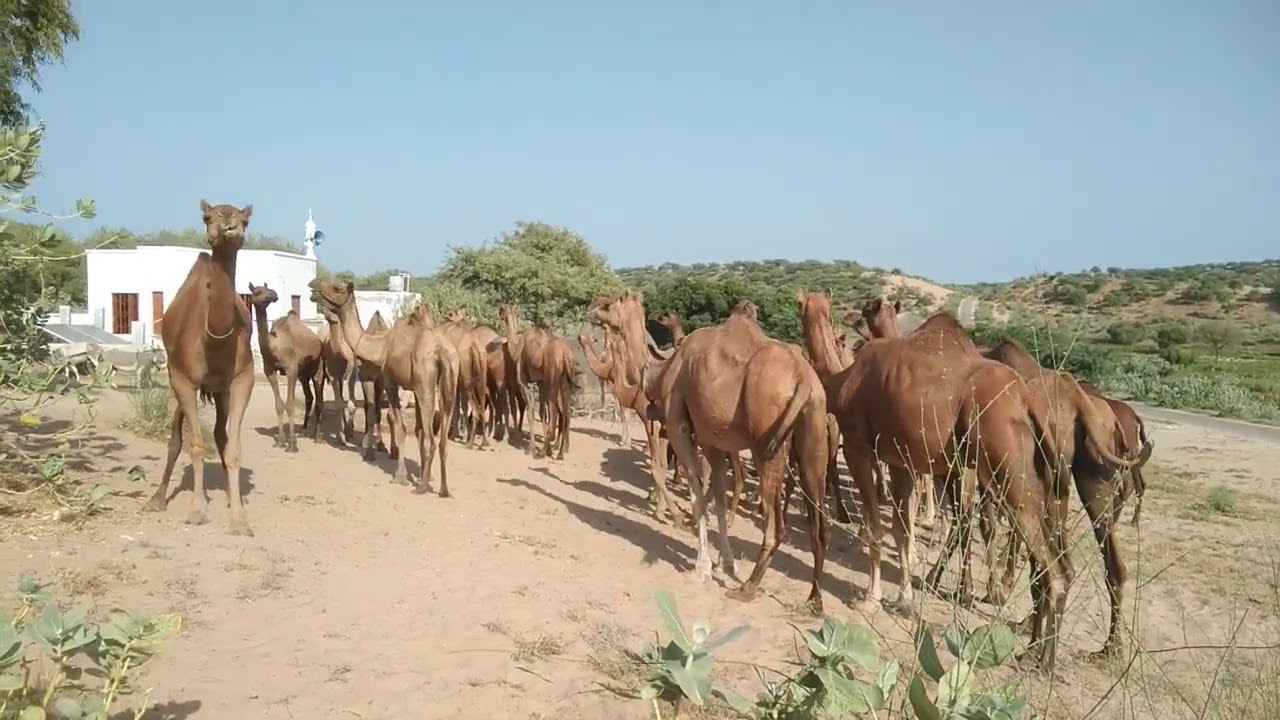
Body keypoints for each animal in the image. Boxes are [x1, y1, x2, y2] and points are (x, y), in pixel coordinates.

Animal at [143, 200, 256, 536]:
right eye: (207, 217)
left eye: (246, 219)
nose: (229, 221)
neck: (215, 340)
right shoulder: (183, 379)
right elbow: (193, 445)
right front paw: (196, 510)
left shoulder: (243, 379)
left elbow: (233, 448)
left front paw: (239, 518)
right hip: (177, 383)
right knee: (175, 438)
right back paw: (157, 499)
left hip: (219, 390)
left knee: (220, 434)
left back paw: (230, 497)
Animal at [245, 284, 323, 452]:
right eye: (257, 291)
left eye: (268, 289)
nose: (273, 295)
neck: (274, 347)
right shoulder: (270, 371)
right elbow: (279, 405)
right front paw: (280, 441)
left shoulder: (291, 369)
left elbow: (290, 405)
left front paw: (292, 444)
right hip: (303, 373)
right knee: (309, 396)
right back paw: (304, 430)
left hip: (318, 365)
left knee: (319, 399)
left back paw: (318, 437)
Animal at [310, 278, 458, 496]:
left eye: (337, 287)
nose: (313, 286)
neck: (380, 345)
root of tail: (441, 351)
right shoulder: (409, 386)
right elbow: (416, 429)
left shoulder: (389, 381)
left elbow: (399, 426)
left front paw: (400, 476)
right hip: (449, 385)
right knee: (442, 439)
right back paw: (444, 489)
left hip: (425, 384)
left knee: (431, 438)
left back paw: (421, 487)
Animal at [499, 305, 577, 460]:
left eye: (503, 310)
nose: (500, 313)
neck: (517, 347)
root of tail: (565, 355)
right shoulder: (541, 383)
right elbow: (541, 412)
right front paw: (548, 450)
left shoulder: (523, 380)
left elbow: (531, 412)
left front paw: (531, 449)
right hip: (565, 381)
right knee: (565, 411)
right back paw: (560, 452)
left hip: (553, 377)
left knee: (554, 410)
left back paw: (542, 452)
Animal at [593, 291, 834, 613]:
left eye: (608, 305)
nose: (593, 311)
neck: (661, 372)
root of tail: (804, 377)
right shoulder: (714, 441)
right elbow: (718, 497)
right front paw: (726, 564)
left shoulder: (680, 426)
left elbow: (697, 493)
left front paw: (703, 567)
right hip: (813, 432)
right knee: (820, 523)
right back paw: (814, 601)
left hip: (766, 442)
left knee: (776, 525)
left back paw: (747, 588)